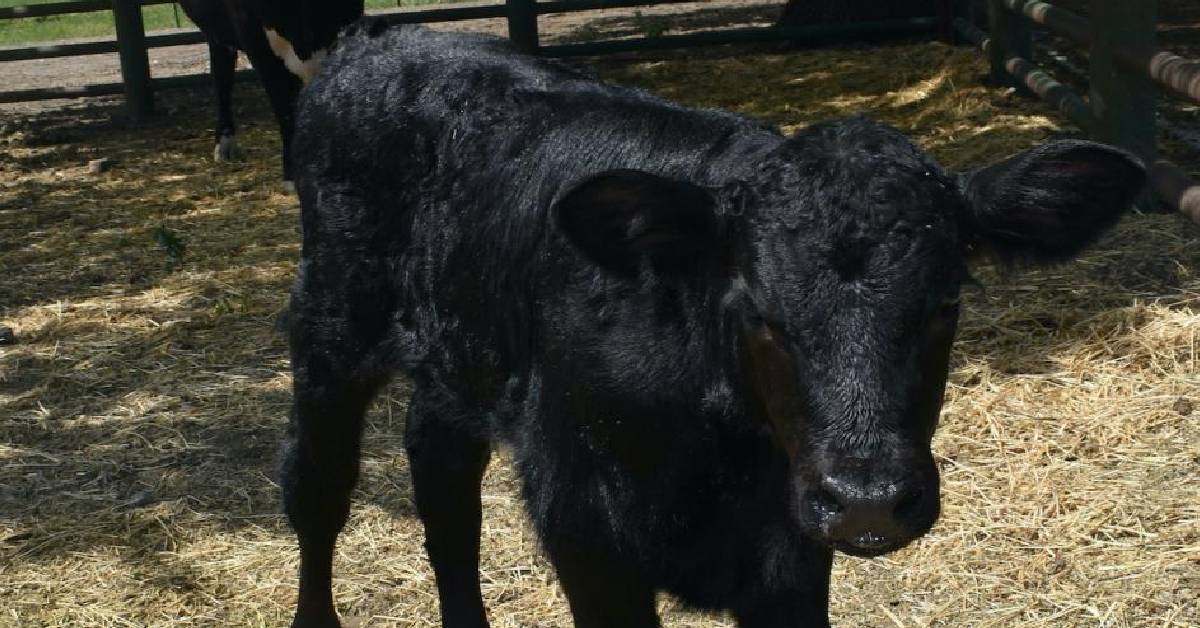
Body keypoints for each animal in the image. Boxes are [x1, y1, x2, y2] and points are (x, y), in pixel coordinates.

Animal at [280, 22, 1146, 628]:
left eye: (946, 303)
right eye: (756, 310)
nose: (868, 500)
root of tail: (377, 41)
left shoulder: (790, 550)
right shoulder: (584, 526)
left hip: (454, 353)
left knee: (443, 480)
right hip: (331, 326)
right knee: (320, 490)